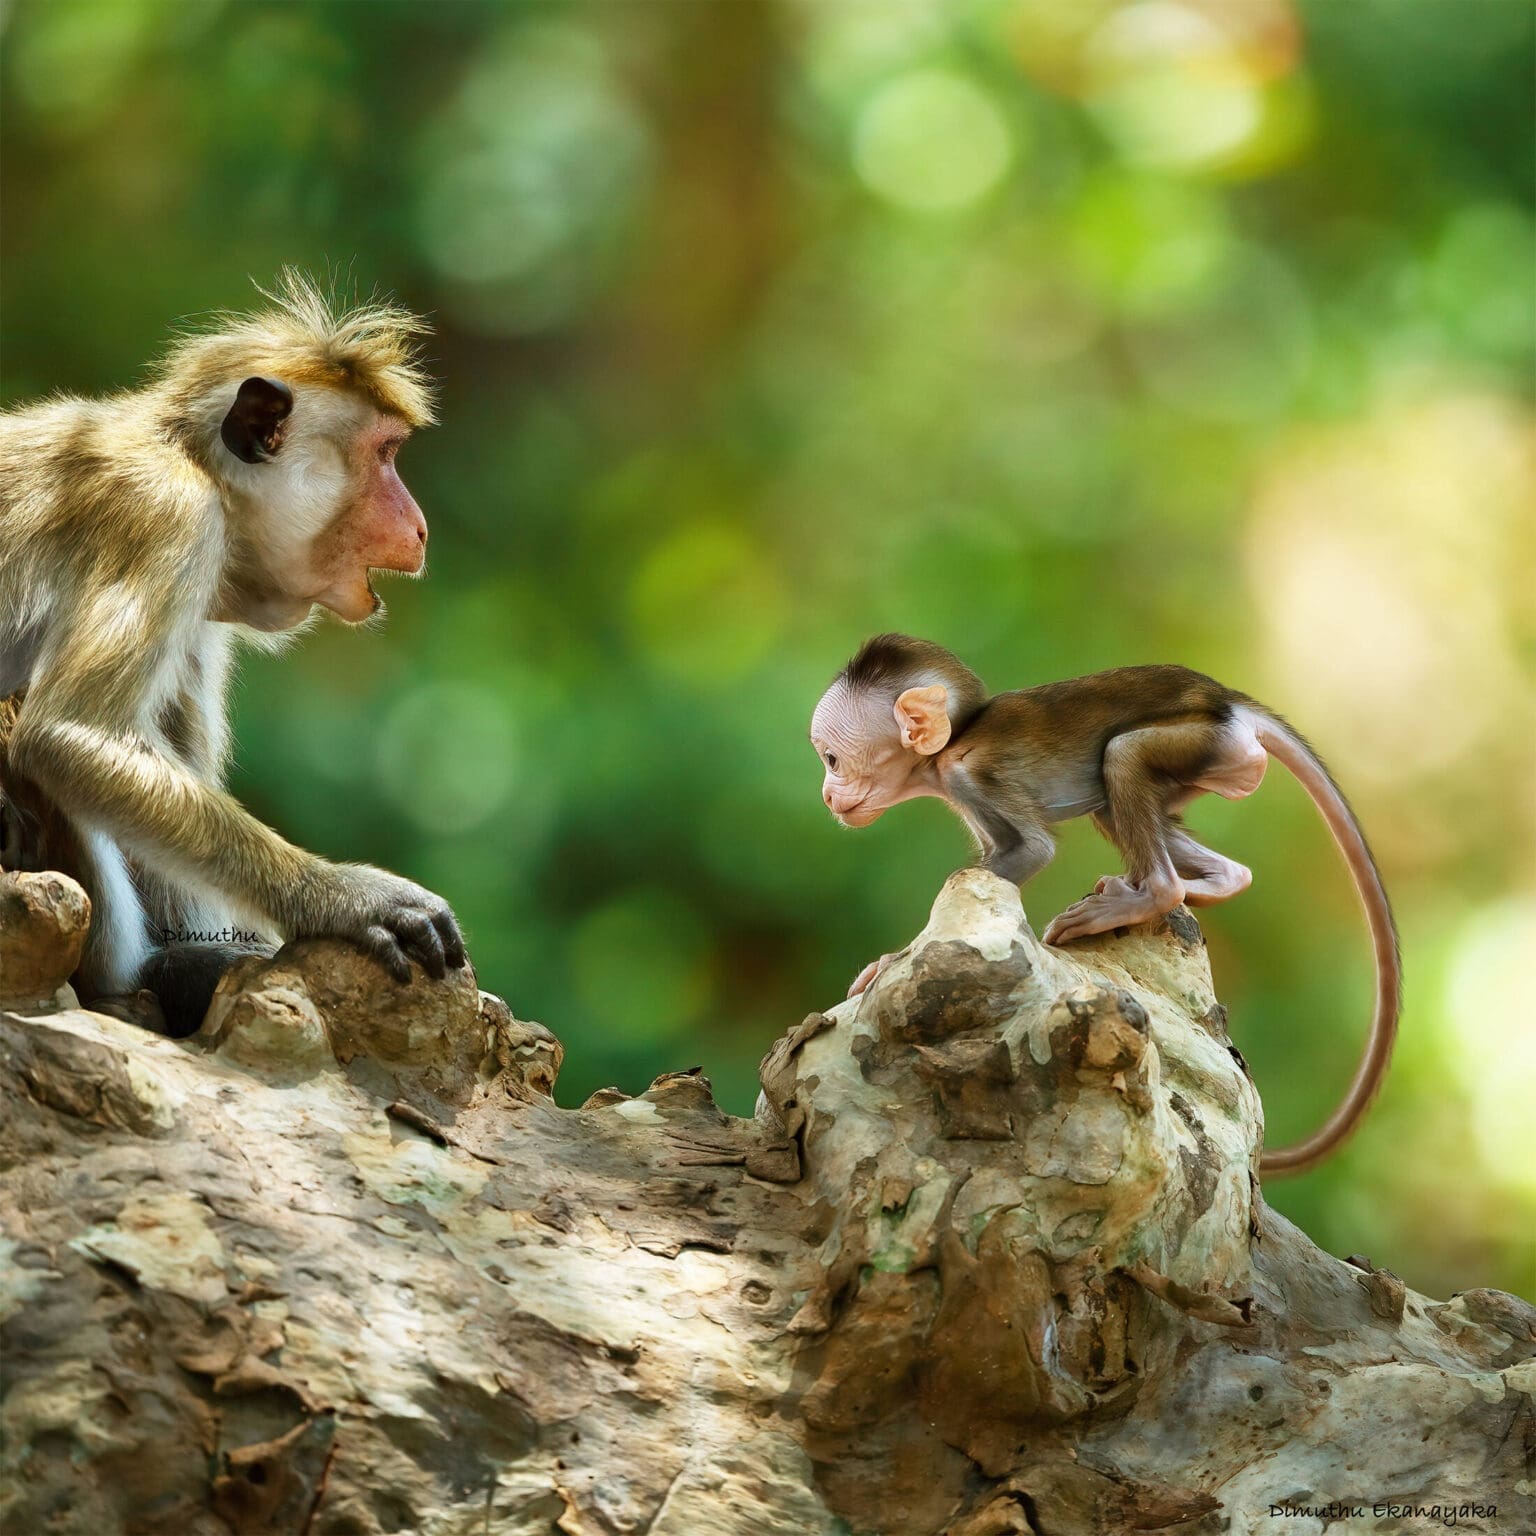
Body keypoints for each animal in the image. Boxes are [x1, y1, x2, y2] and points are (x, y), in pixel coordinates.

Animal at [0, 271, 466, 1034]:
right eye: (384, 455)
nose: (422, 526)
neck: (196, 465)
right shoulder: (168, 518)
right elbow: (70, 735)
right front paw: (342, 897)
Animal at [810, 634, 1400, 1177]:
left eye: (832, 759)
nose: (826, 795)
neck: (952, 746)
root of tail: (1226, 700)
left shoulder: (976, 778)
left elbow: (1031, 852)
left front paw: (892, 960)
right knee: (1123, 809)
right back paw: (1210, 883)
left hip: (1201, 741)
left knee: (1123, 756)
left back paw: (1152, 894)